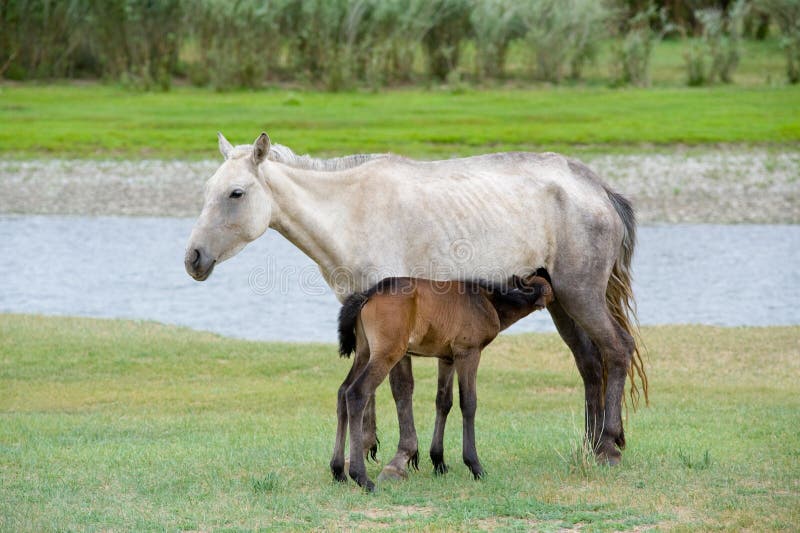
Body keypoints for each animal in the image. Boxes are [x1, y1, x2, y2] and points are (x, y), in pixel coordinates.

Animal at [335, 274, 554, 490]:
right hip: (387, 352)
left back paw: (338, 471)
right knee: (356, 392)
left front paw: (438, 462)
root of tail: (368, 294)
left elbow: (443, 401)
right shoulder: (468, 352)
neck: (487, 300)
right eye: (549, 290)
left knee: (342, 391)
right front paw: (475, 466)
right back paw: (361, 477)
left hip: (364, 352)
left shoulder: (447, 358)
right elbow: (468, 403)